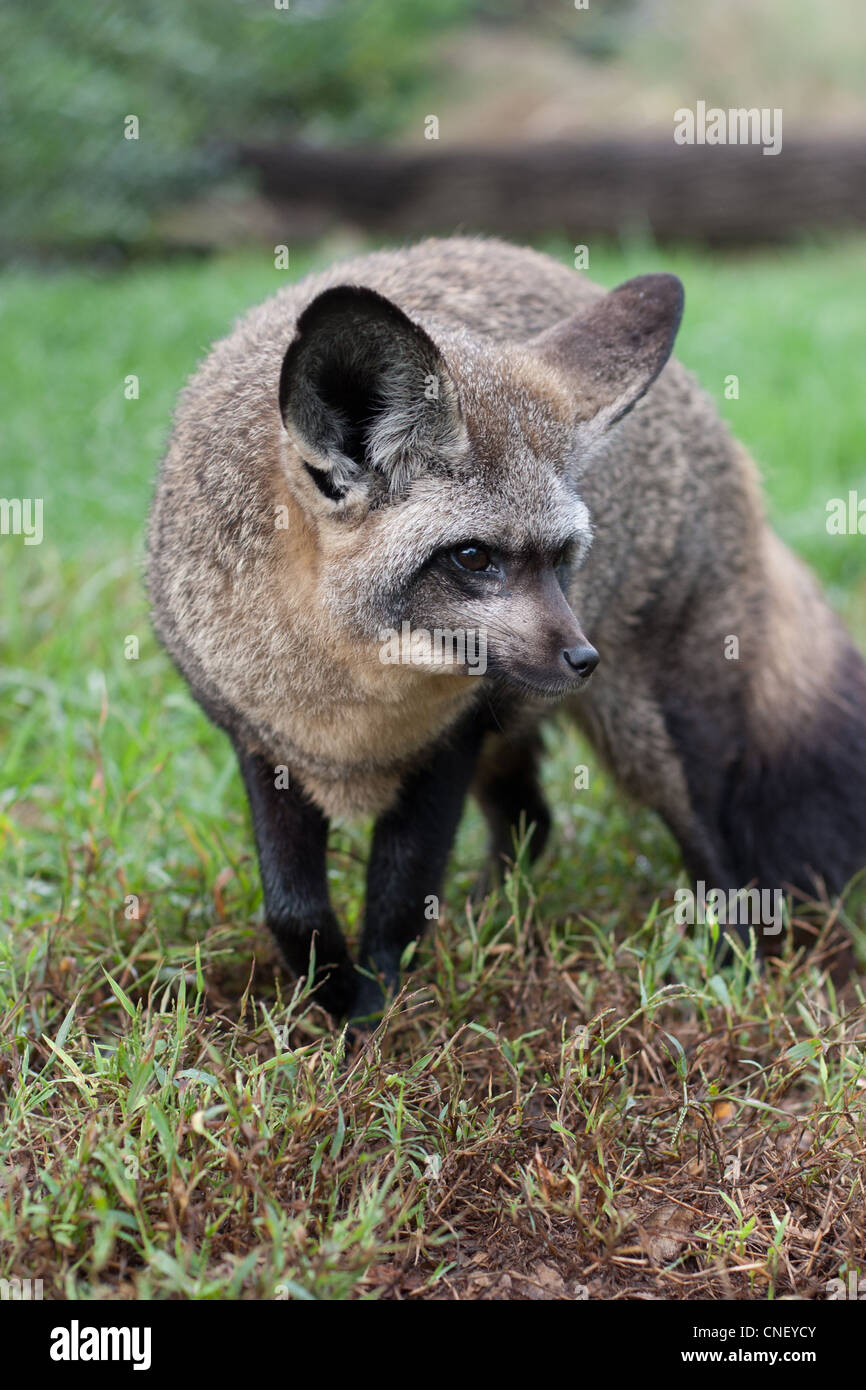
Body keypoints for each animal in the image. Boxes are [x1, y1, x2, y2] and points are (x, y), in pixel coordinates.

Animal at [147, 236, 866, 1021]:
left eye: (562, 559)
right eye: (474, 558)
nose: (584, 658)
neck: (349, 712)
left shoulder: (451, 746)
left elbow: (398, 900)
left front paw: (376, 1015)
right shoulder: (257, 737)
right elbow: (294, 909)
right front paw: (332, 1000)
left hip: (652, 740)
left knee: (716, 854)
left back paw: (731, 968)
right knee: (532, 823)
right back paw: (488, 921)